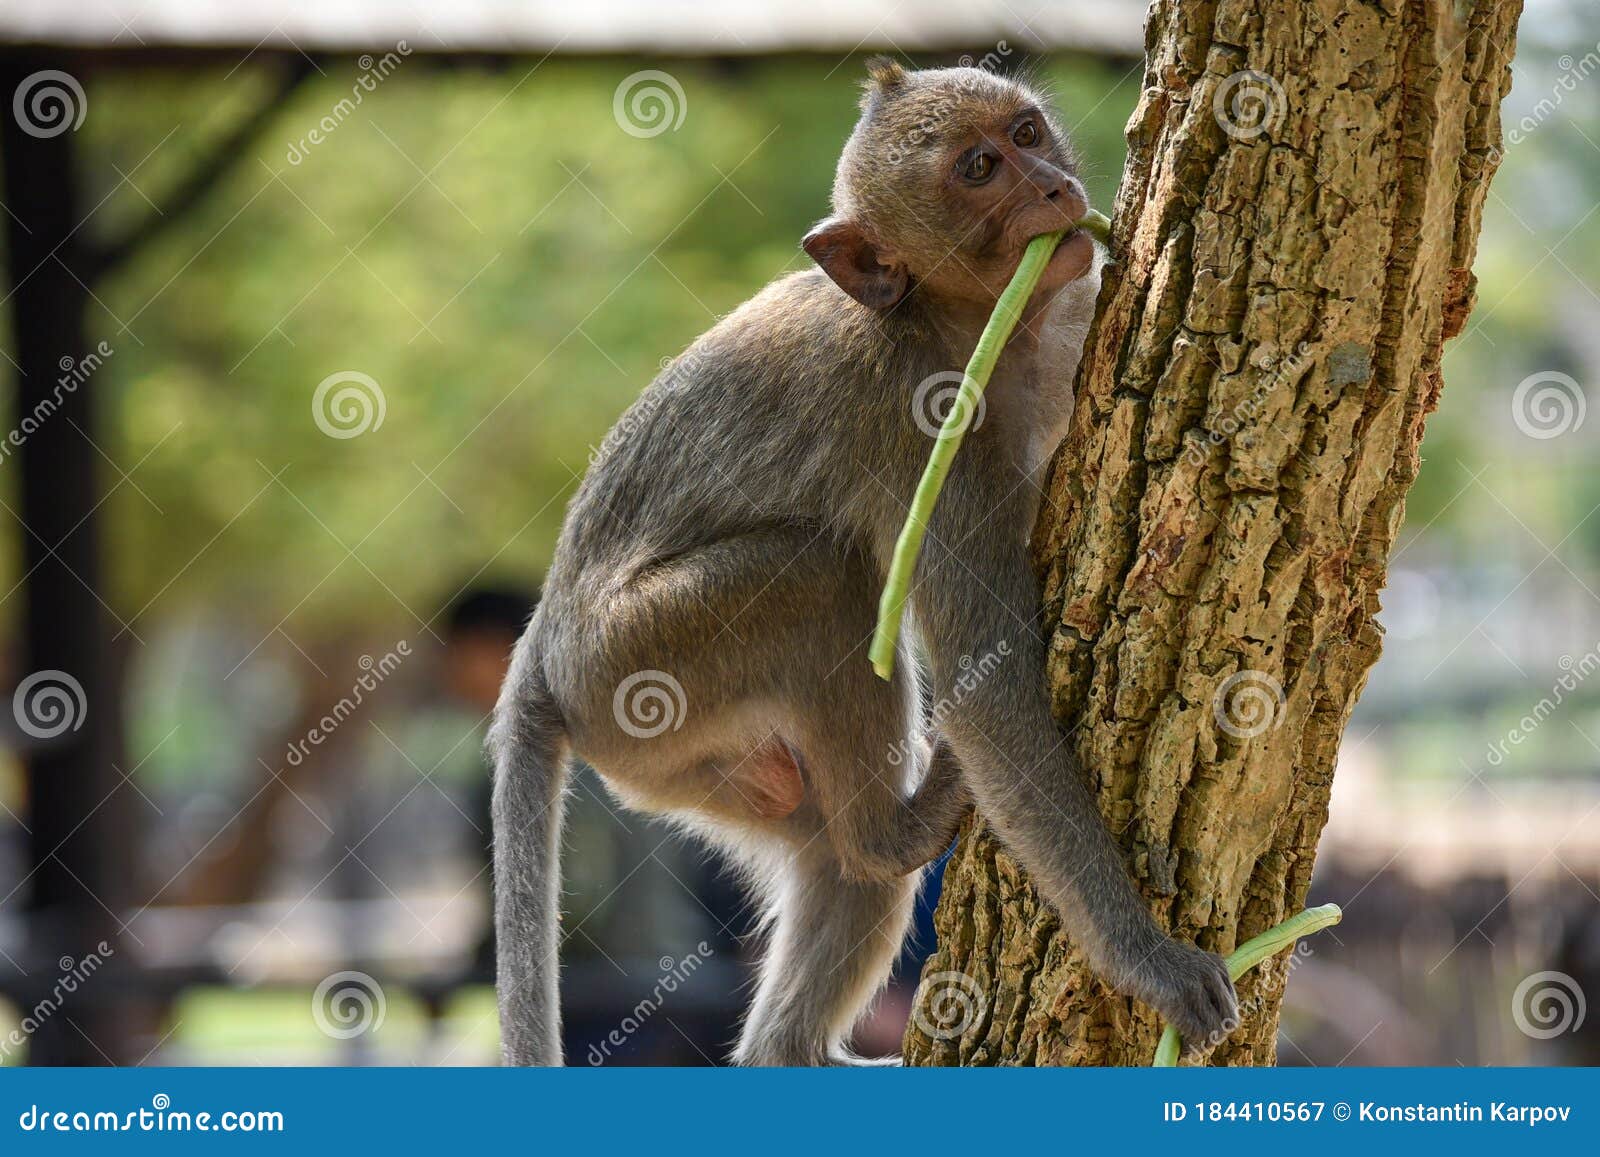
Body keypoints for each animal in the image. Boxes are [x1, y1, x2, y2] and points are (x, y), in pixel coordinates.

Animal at [490, 58, 1239, 1067]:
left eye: (1026, 132)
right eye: (976, 169)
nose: (1053, 187)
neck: (949, 317)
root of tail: (540, 646)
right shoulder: (925, 423)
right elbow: (986, 679)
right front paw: (1146, 956)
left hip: (666, 758)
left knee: (826, 853)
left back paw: (792, 1042)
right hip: (633, 667)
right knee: (822, 579)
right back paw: (897, 830)